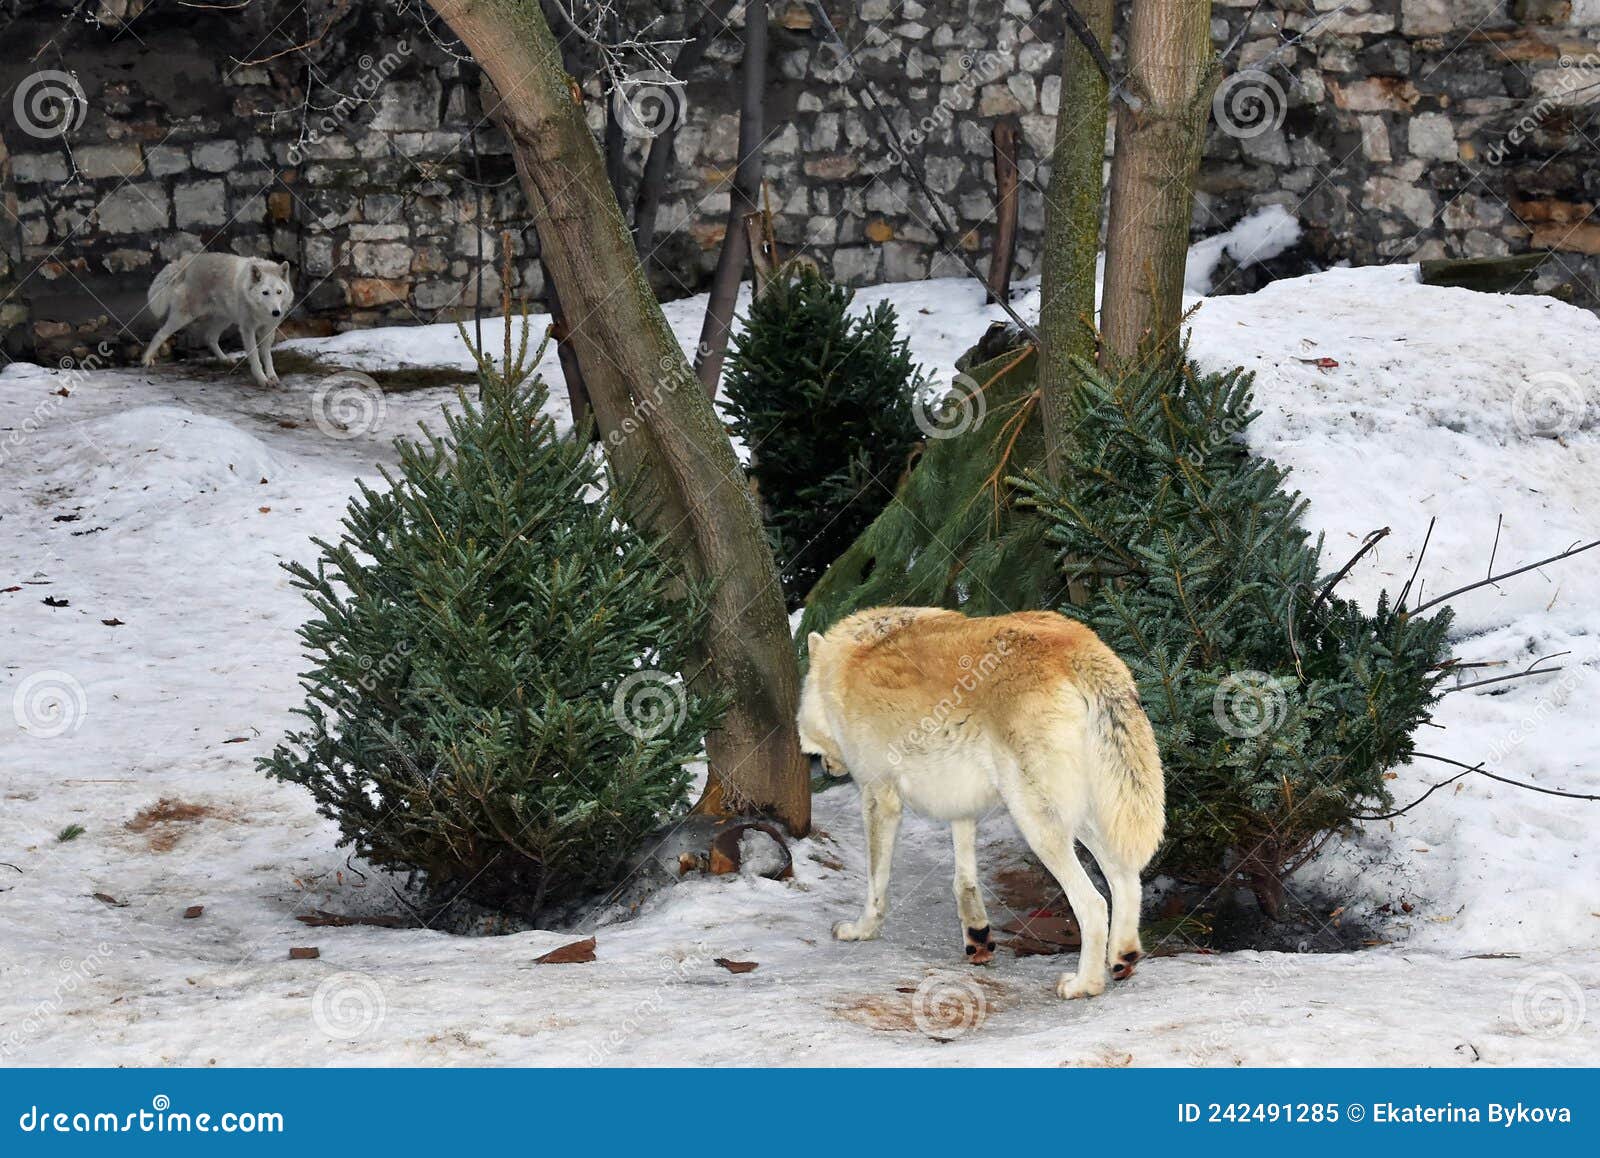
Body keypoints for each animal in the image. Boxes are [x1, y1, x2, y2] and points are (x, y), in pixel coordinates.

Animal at [140, 254, 294, 387]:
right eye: (265, 293)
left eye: (279, 292)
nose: (276, 312)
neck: (260, 310)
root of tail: (186, 262)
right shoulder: (247, 329)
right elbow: (255, 356)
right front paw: (262, 379)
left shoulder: (268, 329)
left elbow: (267, 356)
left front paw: (272, 376)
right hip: (184, 317)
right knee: (160, 334)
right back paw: (146, 359)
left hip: (225, 320)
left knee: (210, 337)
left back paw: (225, 359)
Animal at [798, 607, 1165, 999]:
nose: (827, 769)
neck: (840, 672)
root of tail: (1076, 645)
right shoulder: (961, 806)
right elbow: (964, 881)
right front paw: (977, 938)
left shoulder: (879, 796)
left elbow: (875, 883)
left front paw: (860, 930)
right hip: (1081, 817)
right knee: (1126, 879)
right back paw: (1123, 959)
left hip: (1037, 823)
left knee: (1094, 904)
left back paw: (1084, 984)